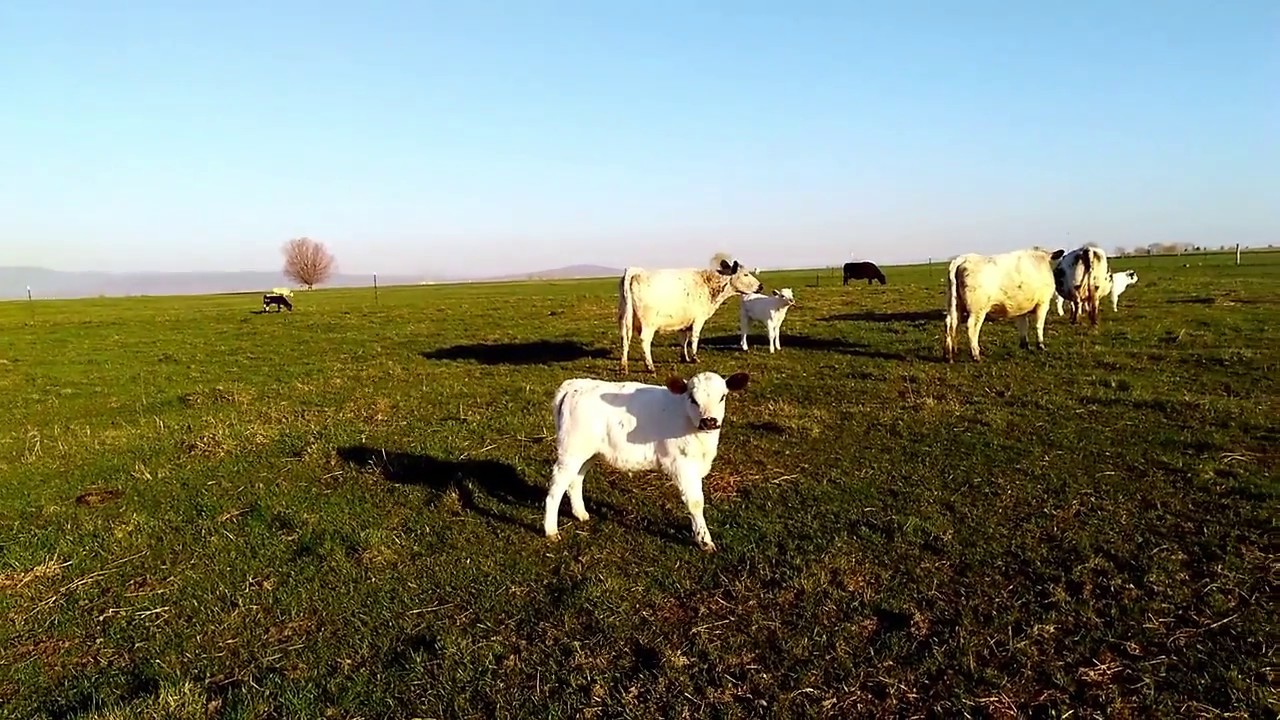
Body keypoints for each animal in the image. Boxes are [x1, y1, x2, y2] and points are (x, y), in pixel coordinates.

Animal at [544, 371, 751, 551]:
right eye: (692, 398)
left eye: (723, 396)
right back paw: (551, 530)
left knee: (576, 480)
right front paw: (704, 541)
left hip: (587, 453)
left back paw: (581, 513)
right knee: (556, 488)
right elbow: (696, 503)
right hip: (570, 451)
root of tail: (575, 384)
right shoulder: (682, 466)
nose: (709, 421)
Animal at [618, 259, 763, 373]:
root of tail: (637, 271)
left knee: (625, 339)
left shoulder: (684, 322)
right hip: (648, 324)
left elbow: (684, 340)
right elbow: (694, 338)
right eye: (745, 274)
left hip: (625, 319)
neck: (707, 284)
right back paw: (650, 366)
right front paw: (694, 358)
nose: (761, 286)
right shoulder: (698, 319)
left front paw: (684, 358)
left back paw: (623, 366)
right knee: (645, 341)